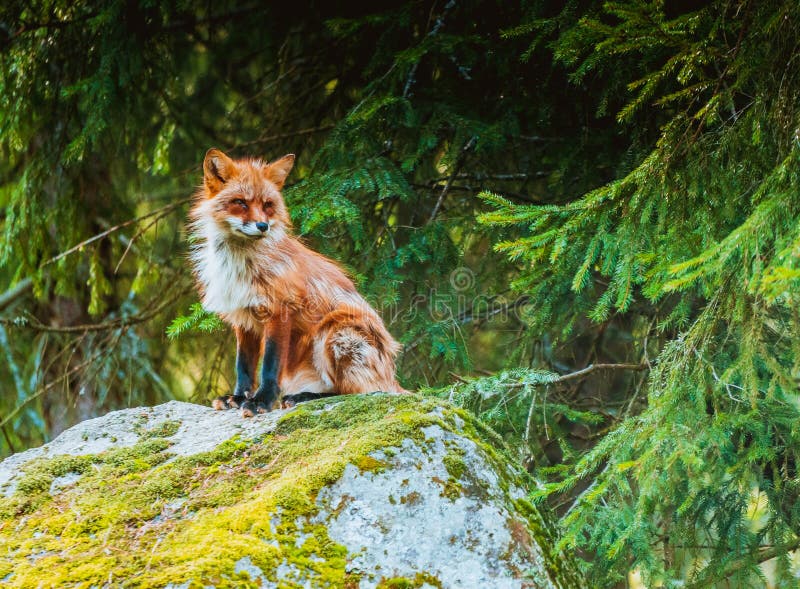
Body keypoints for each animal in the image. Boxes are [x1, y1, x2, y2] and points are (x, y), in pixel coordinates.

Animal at [189, 148, 405, 417]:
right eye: (240, 203)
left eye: (267, 205)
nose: (263, 226)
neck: (242, 266)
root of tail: (391, 375)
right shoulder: (244, 318)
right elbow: (244, 367)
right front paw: (238, 398)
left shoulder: (280, 311)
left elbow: (269, 366)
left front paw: (261, 401)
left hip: (335, 331)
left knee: (358, 392)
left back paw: (304, 397)